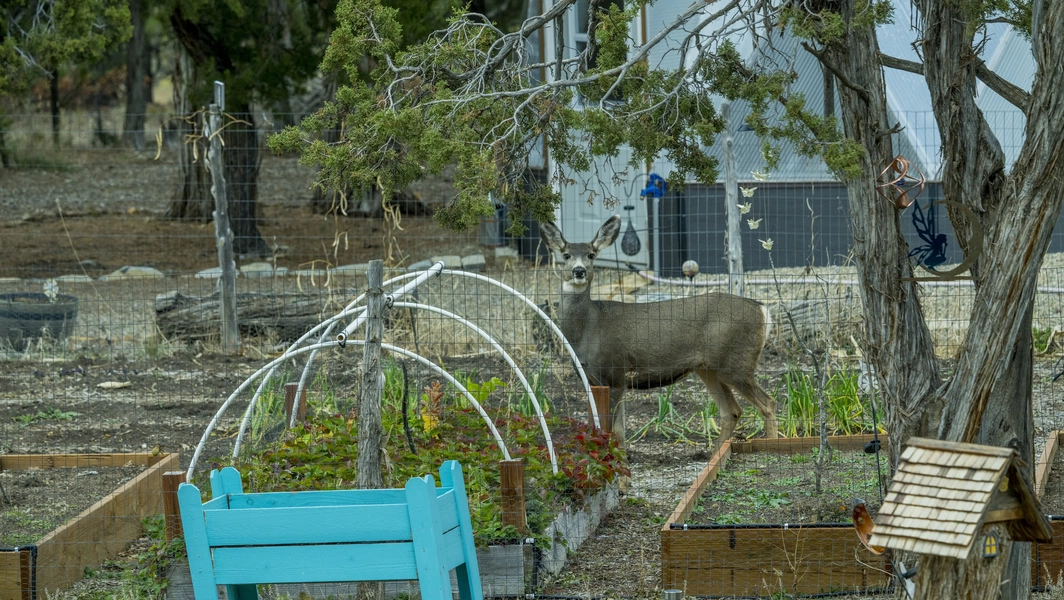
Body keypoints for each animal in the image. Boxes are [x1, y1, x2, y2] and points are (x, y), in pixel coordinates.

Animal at [539, 215, 778, 444]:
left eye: (591, 254)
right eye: (566, 255)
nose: (578, 271)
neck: (588, 329)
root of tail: (763, 309)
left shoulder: (615, 372)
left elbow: (611, 430)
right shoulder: (593, 381)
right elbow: (618, 432)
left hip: (737, 362)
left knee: (768, 404)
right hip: (708, 368)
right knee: (732, 411)